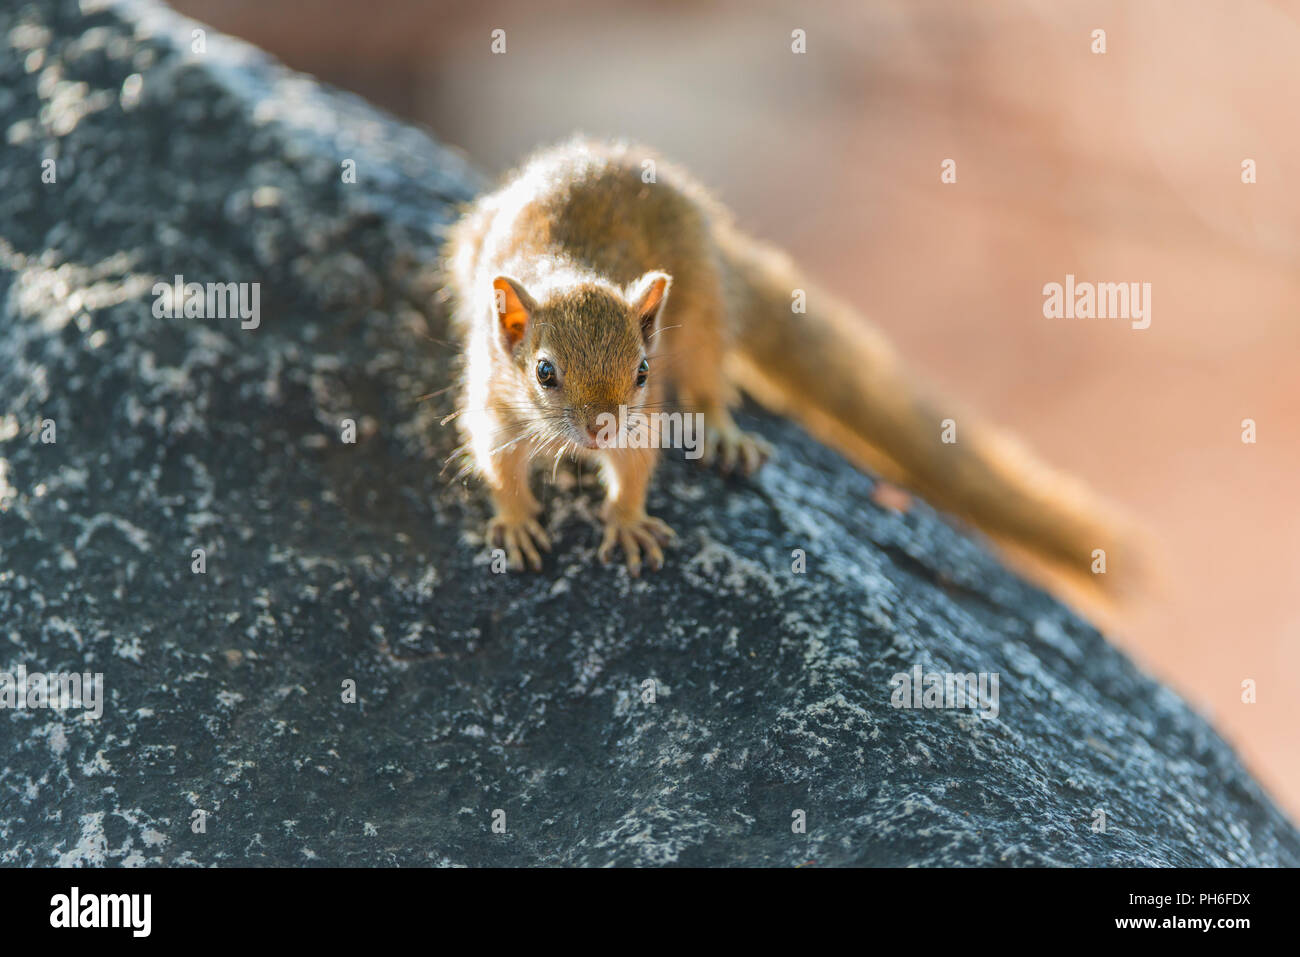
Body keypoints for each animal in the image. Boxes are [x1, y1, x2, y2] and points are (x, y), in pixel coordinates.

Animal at [446, 136, 1136, 580]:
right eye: (544, 372)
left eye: (642, 370)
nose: (602, 428)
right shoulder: (492, 405)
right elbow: (498, 465)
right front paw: (515, 520)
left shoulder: (646, 416)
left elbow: (637, 468)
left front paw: (627, 520)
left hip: (704, 314)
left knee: (709, 379)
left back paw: (724, 433)